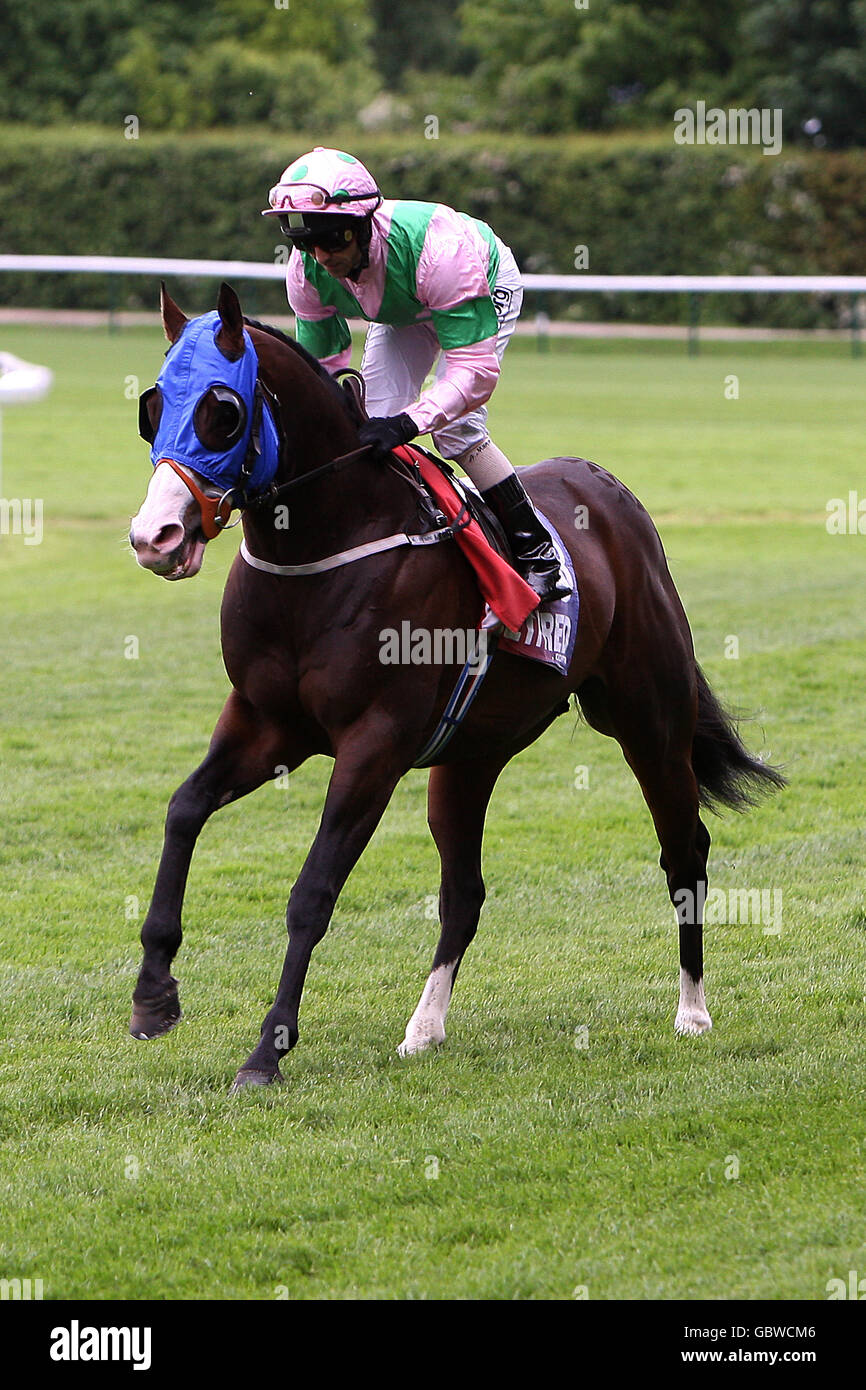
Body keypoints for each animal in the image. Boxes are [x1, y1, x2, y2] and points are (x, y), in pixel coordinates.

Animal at [128, 282, 783, 1092]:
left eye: (222, 410)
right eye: (153, 405)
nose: (155, 536)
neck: (326, 549)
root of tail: (606, 484)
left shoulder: (373, 744)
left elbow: (313, 892)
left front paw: (267, 1050)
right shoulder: (264, 721)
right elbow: (184, 810)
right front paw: (154, 992)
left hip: (648, 718)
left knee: (684, 850)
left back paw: (692, 1011)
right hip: (470, 757)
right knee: (463, 893)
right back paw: (425, 1026)